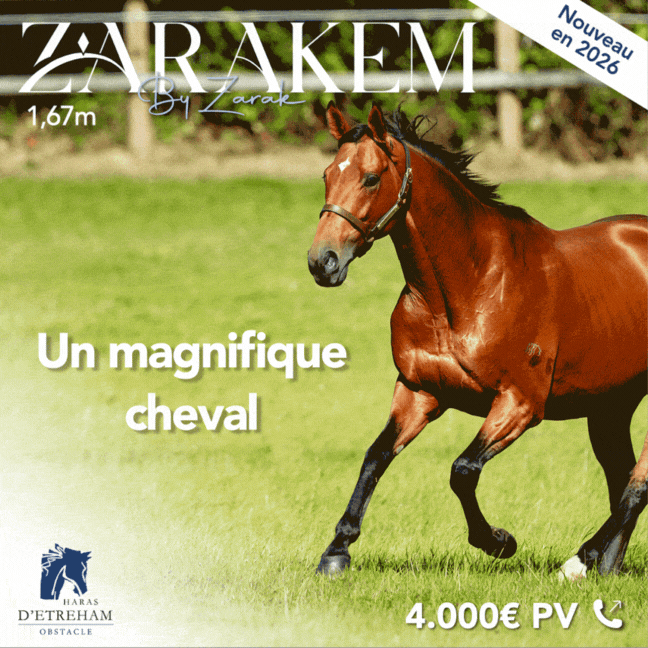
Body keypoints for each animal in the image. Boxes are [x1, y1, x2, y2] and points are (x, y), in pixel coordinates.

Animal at [307, 103, 647, 579]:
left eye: (371, 178)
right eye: (326, 174)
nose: (322, 262)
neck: (467, 287)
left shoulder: (520, 404)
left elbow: (462, 470)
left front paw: (499, 542)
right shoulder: (419, 391)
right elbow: (376, 456)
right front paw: (337, 551)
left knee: (637, 484)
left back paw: (581, 561)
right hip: (611, 407)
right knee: (623, 482)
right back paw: (606, 566)